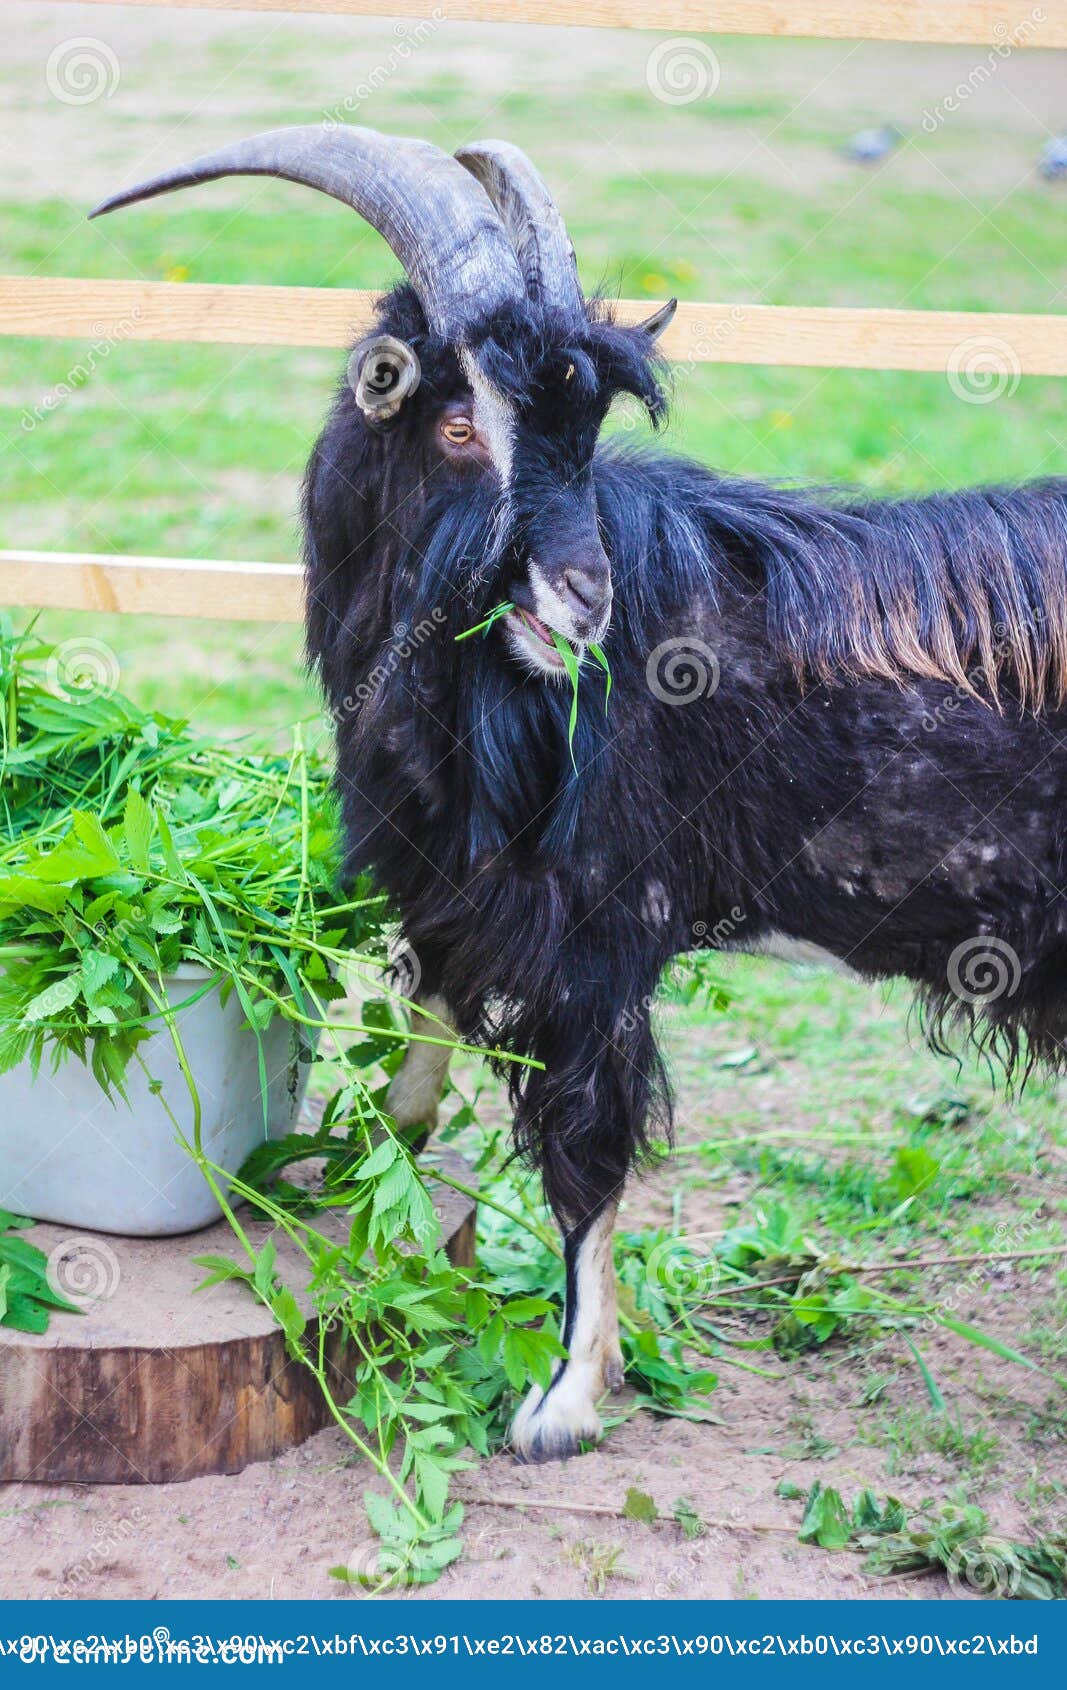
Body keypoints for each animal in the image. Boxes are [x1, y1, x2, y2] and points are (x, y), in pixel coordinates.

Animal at [94, 127, 1067, 1462]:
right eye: (458, 422)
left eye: (586, 423)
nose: (584, 599)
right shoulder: (463, 883)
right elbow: (424, 1036)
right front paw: (356, 1166)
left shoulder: (600, 924)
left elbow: (584, 1155)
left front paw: (560, 1403)